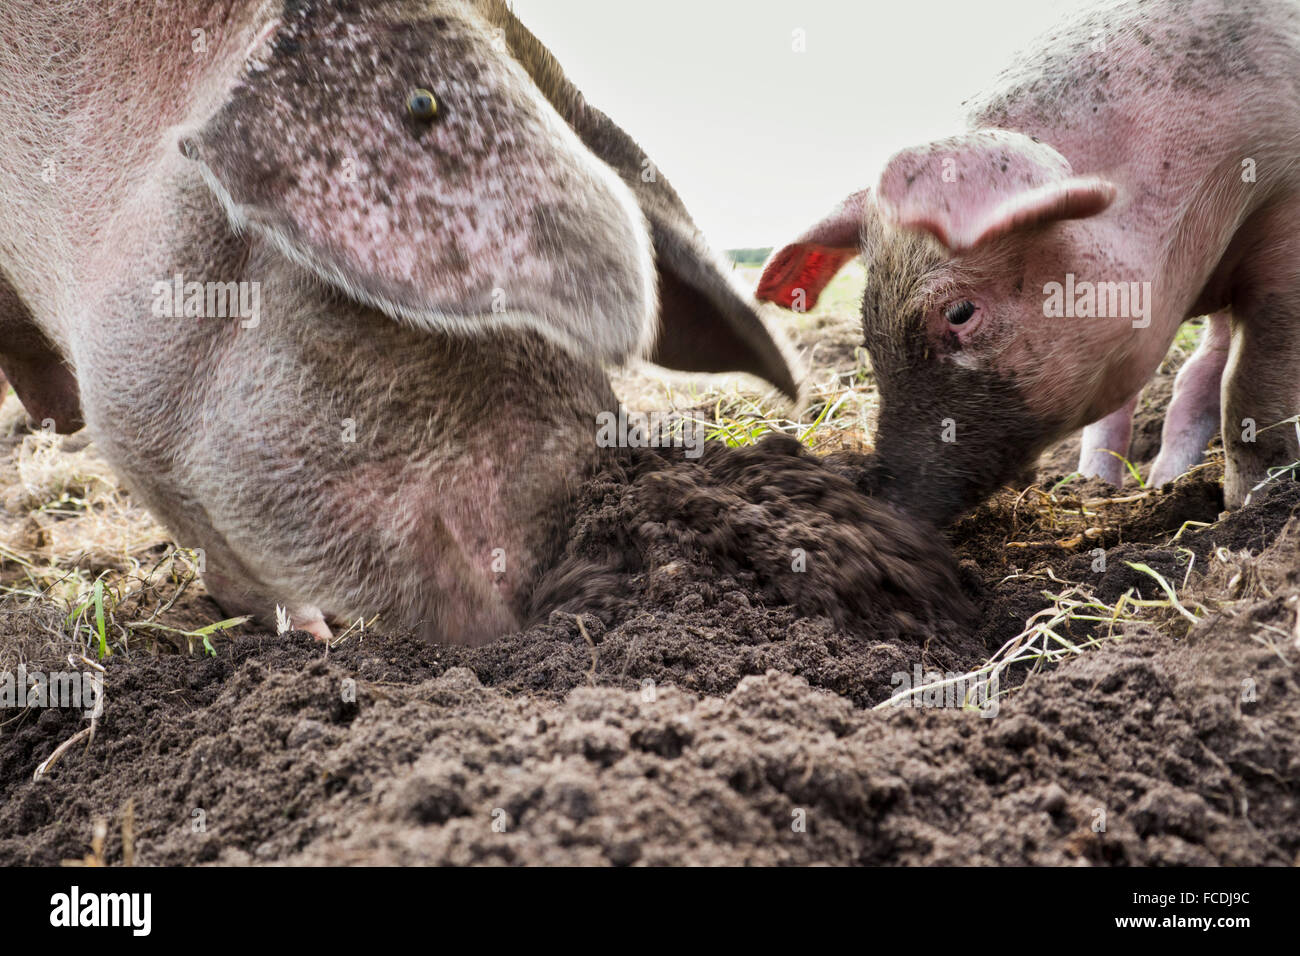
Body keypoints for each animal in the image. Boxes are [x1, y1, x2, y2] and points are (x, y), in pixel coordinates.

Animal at [757, 0, 1300, 526]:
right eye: (867, 319)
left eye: (959, 312)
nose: (884, 503)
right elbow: (1117, 409)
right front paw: (1094, 487)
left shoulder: (1283, 216)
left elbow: (1251, 390)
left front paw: (1247, 506)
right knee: (1196, 372)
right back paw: (1163, 481)